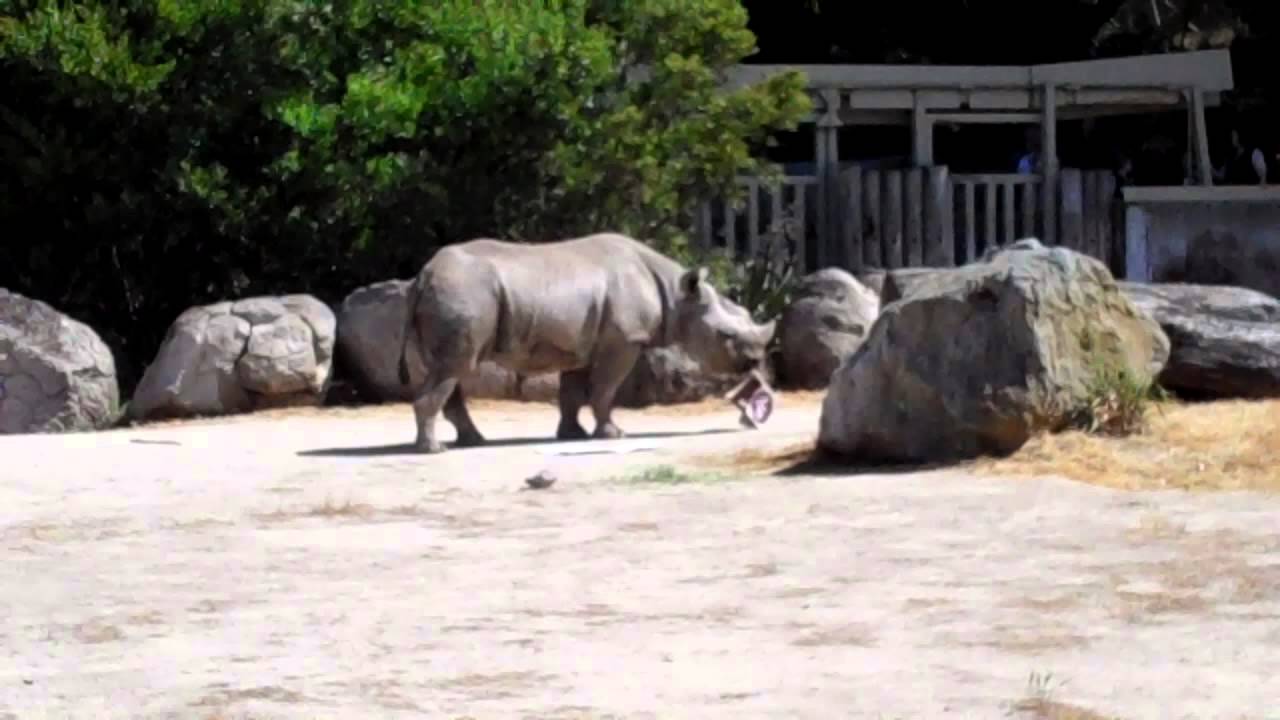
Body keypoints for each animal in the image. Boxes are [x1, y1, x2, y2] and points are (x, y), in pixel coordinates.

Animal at [397, 232, 776, 453]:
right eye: (726, 337)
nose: (755, 361)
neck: (675, 294)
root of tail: (423, 275)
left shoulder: (581, 344)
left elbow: (572, 393)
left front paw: (572, 435)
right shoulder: (623, 341)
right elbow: (605, 389)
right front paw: (613, 434)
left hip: (456, 294)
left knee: (449, 368)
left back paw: (470, 441)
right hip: (464, 293)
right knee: (455, 366)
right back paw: (434, 450)